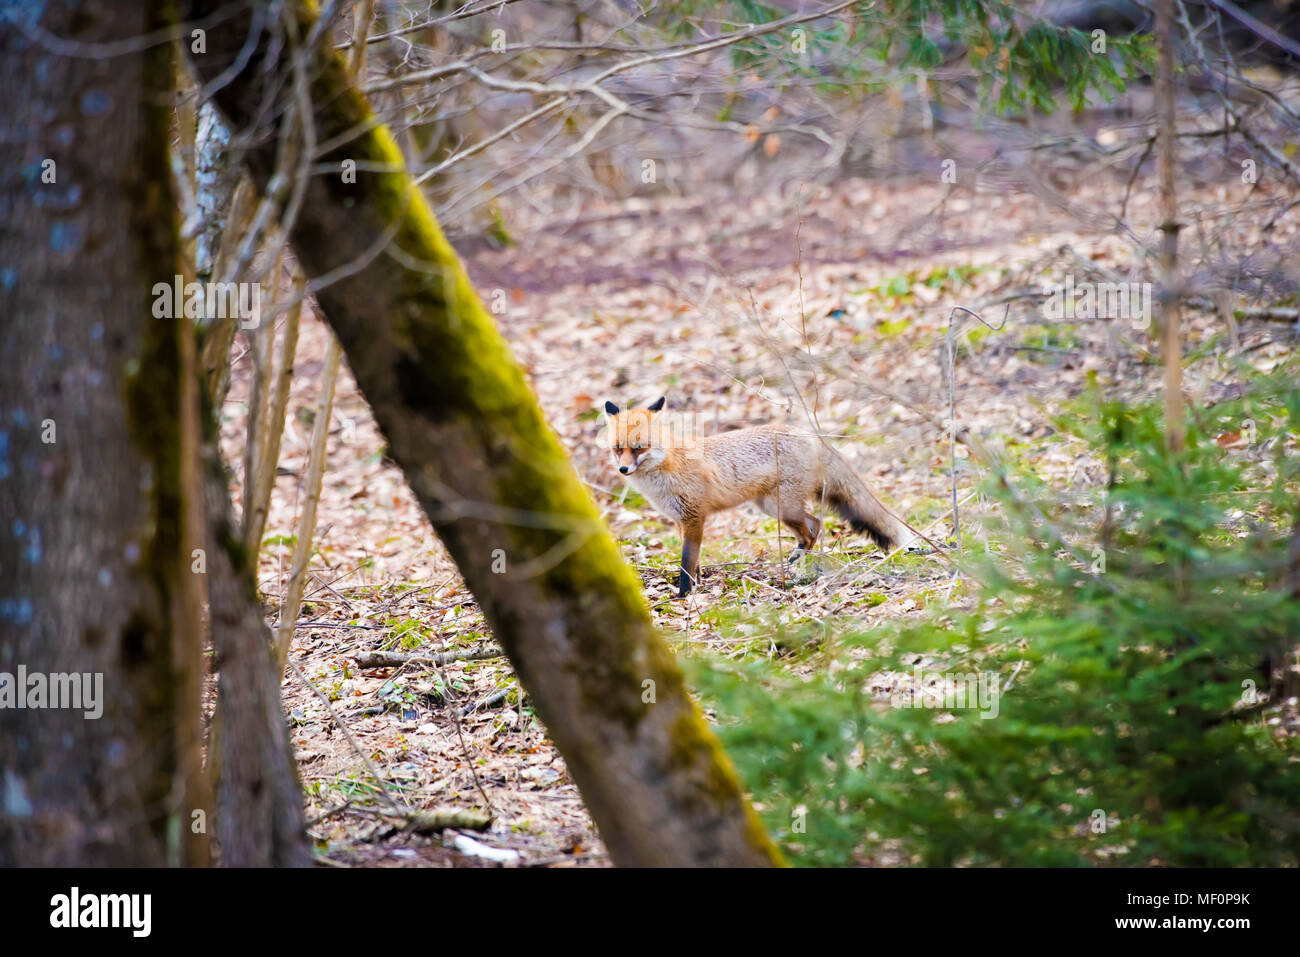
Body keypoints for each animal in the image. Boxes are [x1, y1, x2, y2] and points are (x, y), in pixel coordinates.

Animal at [603, 396, 915, 596]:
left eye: (639, 448)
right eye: (618, 449)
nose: (623, 469)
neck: (669, 467)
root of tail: (810, 435)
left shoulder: (694, 516)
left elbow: (686, 563)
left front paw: (683, 595)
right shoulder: (681, 520)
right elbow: (694, 562)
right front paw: (696, 586)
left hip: (782, 507)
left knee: (813, 527)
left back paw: (799, 561)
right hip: (773, 507)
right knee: (814, 524)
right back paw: (797, 559)